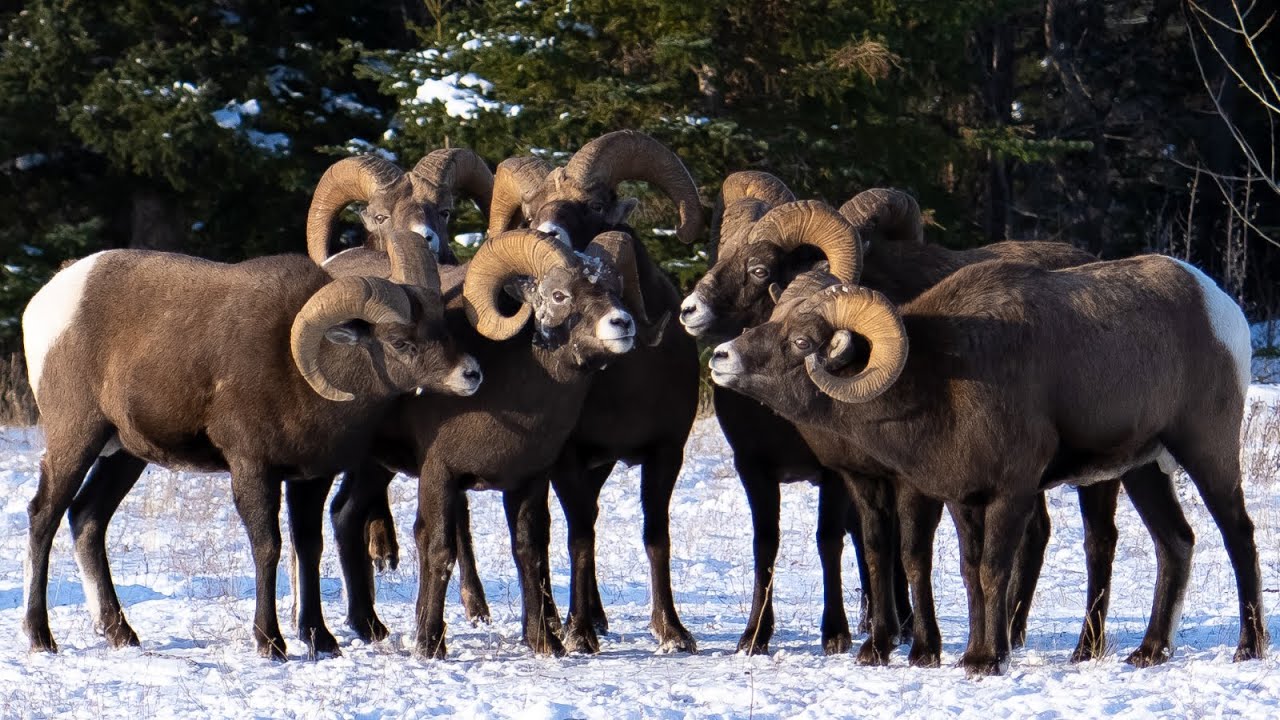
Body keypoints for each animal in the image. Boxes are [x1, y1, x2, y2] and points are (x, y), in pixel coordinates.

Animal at [21, 234, 481, 660]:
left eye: (442, 328)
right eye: (401, 342)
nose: (471, 374)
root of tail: (44, 305)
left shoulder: (310, 479)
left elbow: (308, 547)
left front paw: (321, 639)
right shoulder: (252, 468)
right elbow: (268, 547)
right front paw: (270, 643)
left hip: (125, 456)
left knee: (87, 519)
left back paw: (120, 634)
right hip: (76, 439)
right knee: (44, 516)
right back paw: (41, 637)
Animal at [328, 228, 657, 657]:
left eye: (616, 290)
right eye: (559, 295)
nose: (622, 323)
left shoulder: (529, 481)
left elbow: (529, 551)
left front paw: (544, 642)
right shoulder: (439, 476)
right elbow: (439, 550)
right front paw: (429, 644)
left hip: (374, 468)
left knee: (344, 516)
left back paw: (368, 626)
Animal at [482, 130, 704, 652]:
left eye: (594, 205)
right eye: (529, 212)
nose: (546, 235)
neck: (626, 387)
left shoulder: (666, 453)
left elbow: (655, 536)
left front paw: (672, 632)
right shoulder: (568, 458)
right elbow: (578, 537)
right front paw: (579, 633)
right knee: (538, 533)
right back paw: (554, 624)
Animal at [708, 240, 1265, 675]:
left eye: (802, 341)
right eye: (775, 320)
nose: (720, 358)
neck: (939, 378)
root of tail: (1219, 307)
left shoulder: (1009, 493)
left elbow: (995, 569)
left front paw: (985, 661)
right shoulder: (962, 499)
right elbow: (970, 571)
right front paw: (974, 652)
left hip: (1206, 454)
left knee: (1238, 535)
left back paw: (1249, 648)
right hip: (1144, 472)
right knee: (1176, 544)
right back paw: (1147, 652)